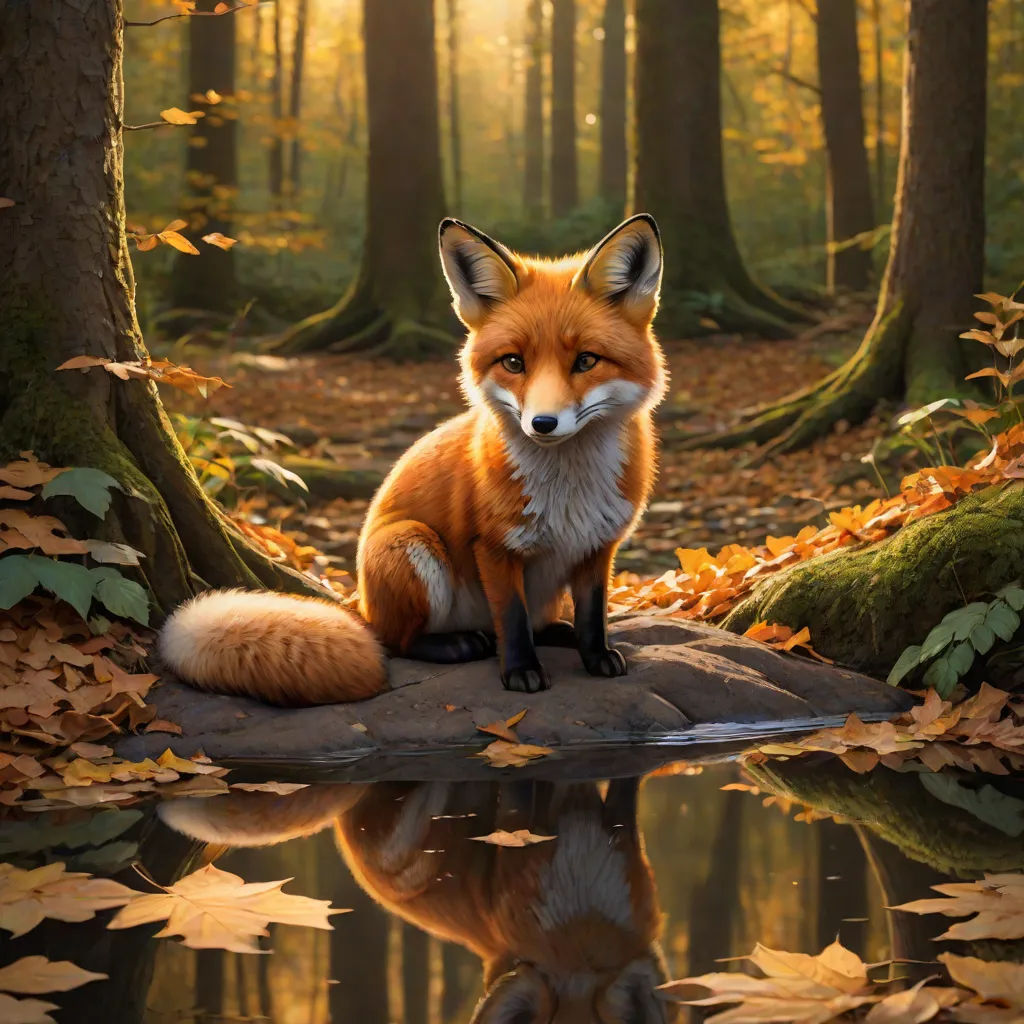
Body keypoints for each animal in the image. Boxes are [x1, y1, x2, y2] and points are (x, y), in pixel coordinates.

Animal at [158, 214, 667, 704]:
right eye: (513, 363)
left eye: (586, 361)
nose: (542, 424)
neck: (569, 492)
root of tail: (360, 599)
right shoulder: (493, 547)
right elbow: (512, 620)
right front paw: (520, 671)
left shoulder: (599, 545)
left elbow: (593, 614)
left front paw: (596, 655)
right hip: (411, 544)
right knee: (397, 640)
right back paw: (457, 644)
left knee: (531, 622)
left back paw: (554, 632)